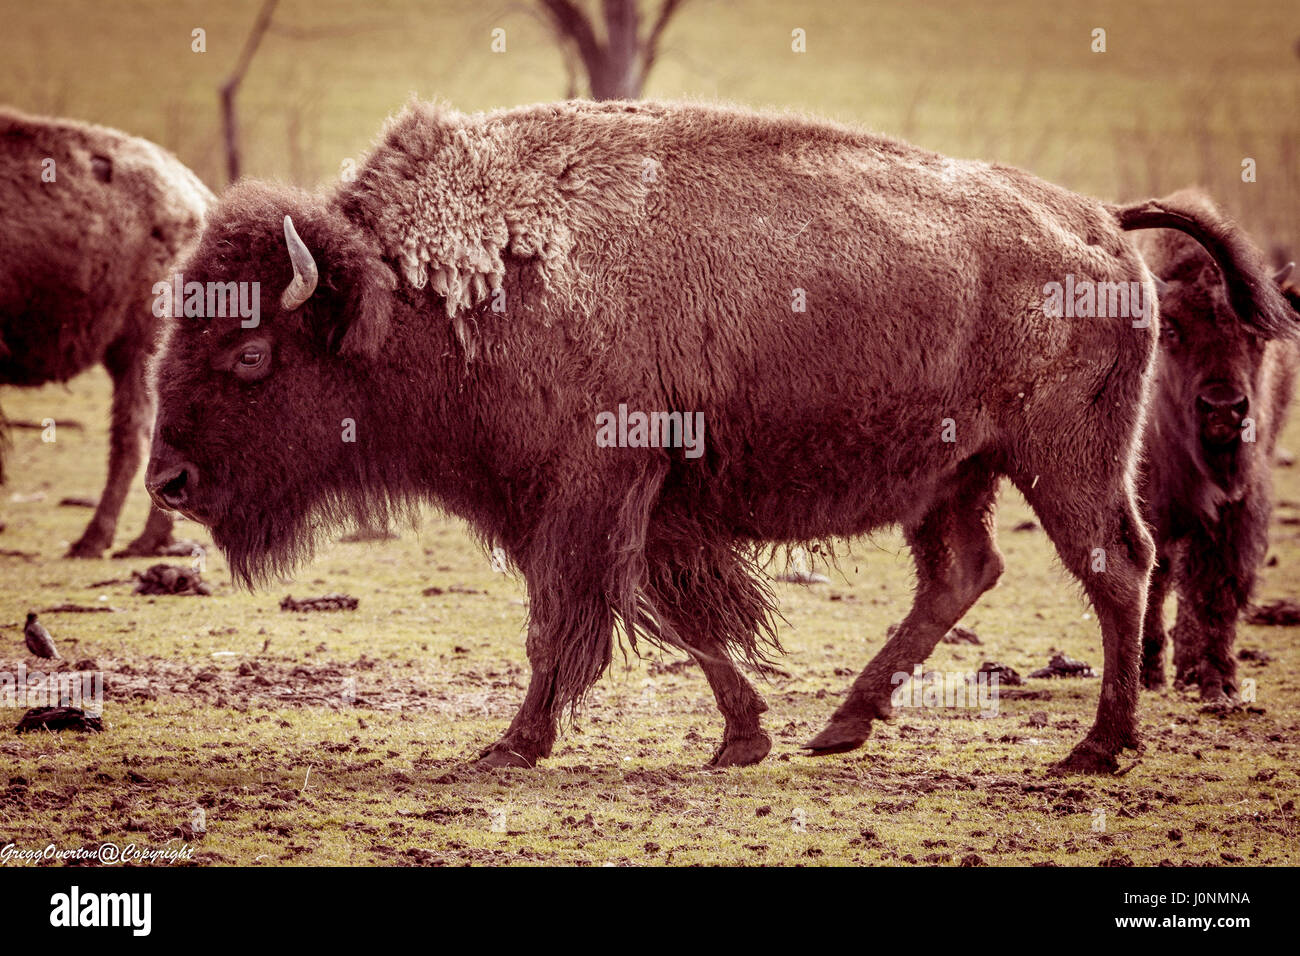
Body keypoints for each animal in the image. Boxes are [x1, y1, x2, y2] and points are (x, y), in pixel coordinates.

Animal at [1133, 189, 1299, 701]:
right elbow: (1156, 574)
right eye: (1171, 330)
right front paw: (1149, 671)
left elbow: (1218, 583)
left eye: (1256, 335)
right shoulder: (1150, 499)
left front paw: (1214, 678)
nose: (1223, 408)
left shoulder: (1239, 503)